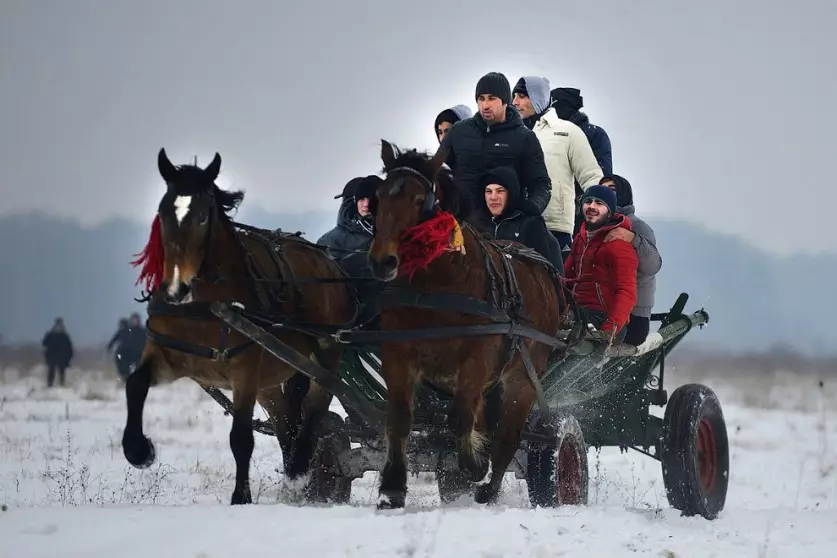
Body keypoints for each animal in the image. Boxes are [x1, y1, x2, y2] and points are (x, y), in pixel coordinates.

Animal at [121, 150, 352, 508]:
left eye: (203, 216)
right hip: (272, 380)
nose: (176, 288)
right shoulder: (169, 355)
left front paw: (240, 496)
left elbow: (241, 438)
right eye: (163, 211)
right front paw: (138, 450)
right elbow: (135, 384)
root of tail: (329, 261)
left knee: (317, 403)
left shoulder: (244, 370)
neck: (204, 305)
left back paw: (300, 467)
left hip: (324, 353)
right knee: (286, 424)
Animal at [368, 141, 568, 512]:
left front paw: (475, 465)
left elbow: (460, 417)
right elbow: (400, 418)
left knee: (508, 433)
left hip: (523, 374)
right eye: (379, 197)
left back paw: (488, 486)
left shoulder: (478, 356)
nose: (382, 261)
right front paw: (392, 489)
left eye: (420, 200)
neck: (437, 286)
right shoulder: (397, 351)